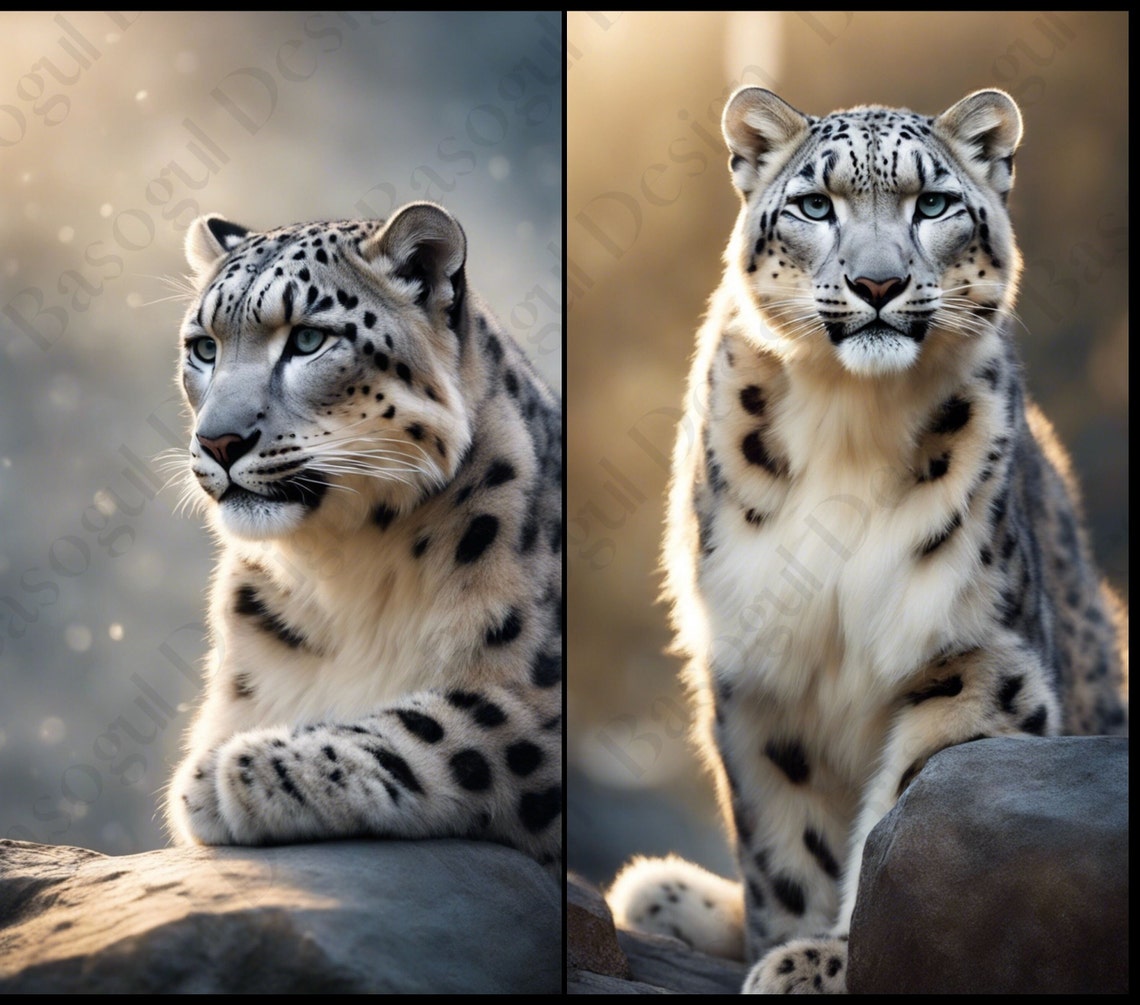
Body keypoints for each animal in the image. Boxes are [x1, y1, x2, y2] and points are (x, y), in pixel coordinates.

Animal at [164, 201, 563, 874]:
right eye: (204, 347)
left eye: (307, 339)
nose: (218, 441)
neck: (342, 573)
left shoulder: (535, 699)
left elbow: (450, 724)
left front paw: (230, 772)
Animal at [605, 88, 1127, 992]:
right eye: (817, 205)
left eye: (934, 203)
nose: (876, 282)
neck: (853, 423)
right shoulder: (763, 661)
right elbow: (790, 845)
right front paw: (795, 946)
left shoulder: (977, 652)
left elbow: (908, 810)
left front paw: (828, 957)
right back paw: (663, 892)